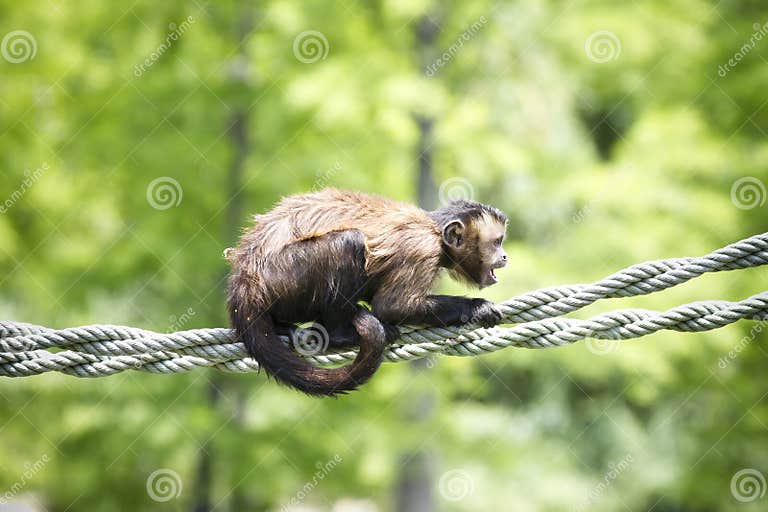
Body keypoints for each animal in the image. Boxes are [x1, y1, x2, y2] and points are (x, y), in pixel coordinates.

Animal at [226, 188, 508, 396]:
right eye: (497, 242)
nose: (505, 256)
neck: (435, 232)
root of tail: (244, 280)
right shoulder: (421, 247)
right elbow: (392, 305)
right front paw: (478, 306)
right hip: (283, 274)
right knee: (348, 242)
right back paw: (340, 335)